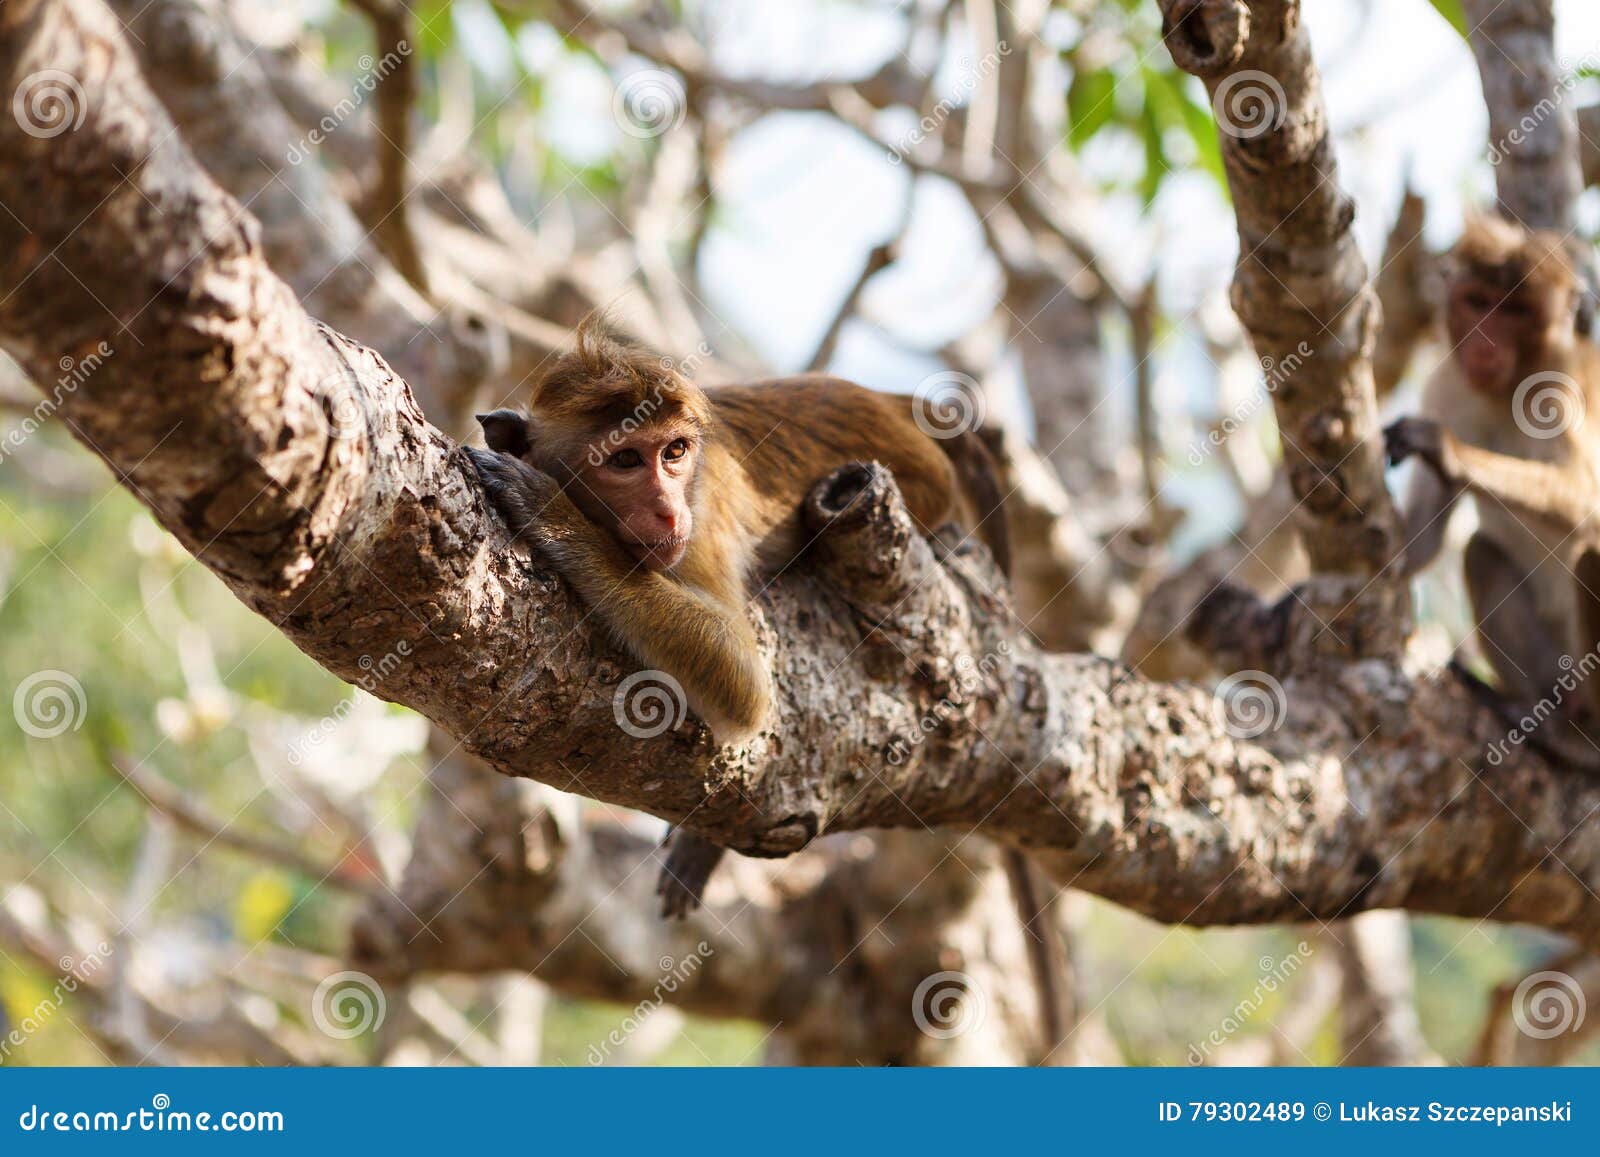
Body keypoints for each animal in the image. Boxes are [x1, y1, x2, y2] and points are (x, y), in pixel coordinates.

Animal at [464, 317, 1070, 1059]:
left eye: (673, 452)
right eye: (625, 460)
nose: (666, 512)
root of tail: (891, 401)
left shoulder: (703, 521)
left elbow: (745, 689)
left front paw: (553, 516)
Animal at [1384, 216, 1600, 769]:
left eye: (1515, 312)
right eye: (1478, 302)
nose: (1484, 344)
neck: (1506, 393)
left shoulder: (1562, 386)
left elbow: (1589, 502)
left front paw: (1450, 453)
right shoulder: (1447, 385)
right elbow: (1421, 547)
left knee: (1591, 553)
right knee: (1481, 553)